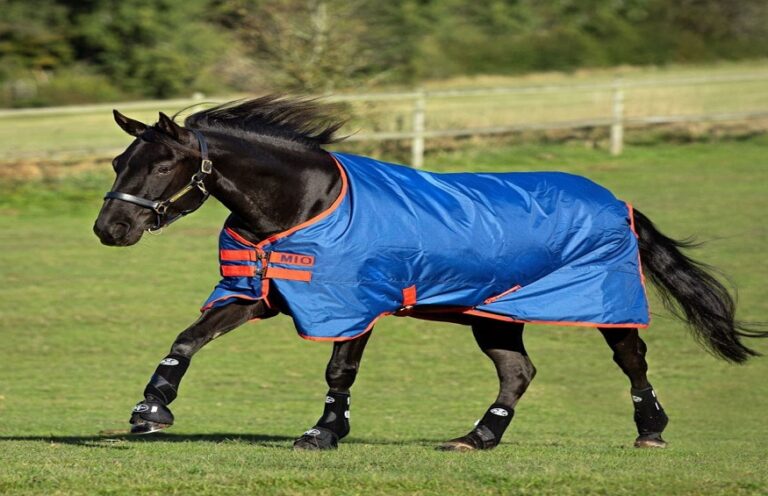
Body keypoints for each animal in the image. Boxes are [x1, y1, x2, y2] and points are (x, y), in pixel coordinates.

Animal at [93, 96, 765, 451]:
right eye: (120, 159)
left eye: (161, 166)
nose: (109, 229)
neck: (306, 203)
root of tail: (616, 199)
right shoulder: (257, 295)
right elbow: (187, 340)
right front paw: (150, 410)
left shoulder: (355, 304)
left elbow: (339, 369)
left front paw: (325, 432)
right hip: (494, 313)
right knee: (518, 372)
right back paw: (478, 438)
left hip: (603, 303)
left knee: (632, 360)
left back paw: (650, 430)